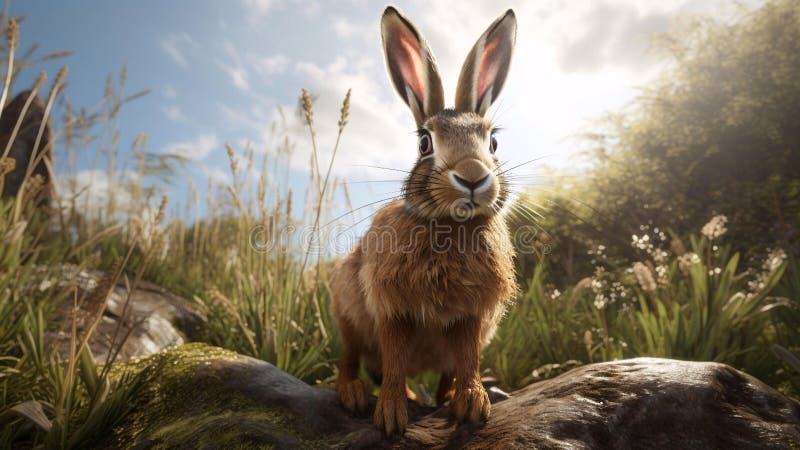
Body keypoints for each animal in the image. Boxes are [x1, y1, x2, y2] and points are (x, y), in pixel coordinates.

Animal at [331, 5, 518, 435]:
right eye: (424, 143)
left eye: (493, 141)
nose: (472, 176)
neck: (450, 225)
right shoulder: (392, 307)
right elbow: (394, 358)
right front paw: (390, 415)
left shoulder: (470, 314)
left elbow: (467, 360)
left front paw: (474, 404)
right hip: (347, 311)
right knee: (352, 357)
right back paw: (355, 393)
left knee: (447, 371)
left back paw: (453, 397)